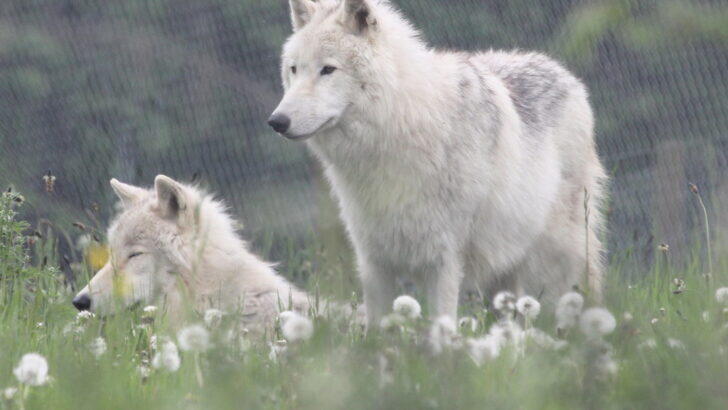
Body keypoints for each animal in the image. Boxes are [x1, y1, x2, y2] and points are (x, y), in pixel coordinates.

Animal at [269, 0, 607, 326]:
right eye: (294, 69)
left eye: (328, 69)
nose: (277, 121)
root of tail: (562, 70)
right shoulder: (374, 263)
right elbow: (377, 331)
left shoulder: (443, 262)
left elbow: (441, 330)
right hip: (503, 270)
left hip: (558, 264)